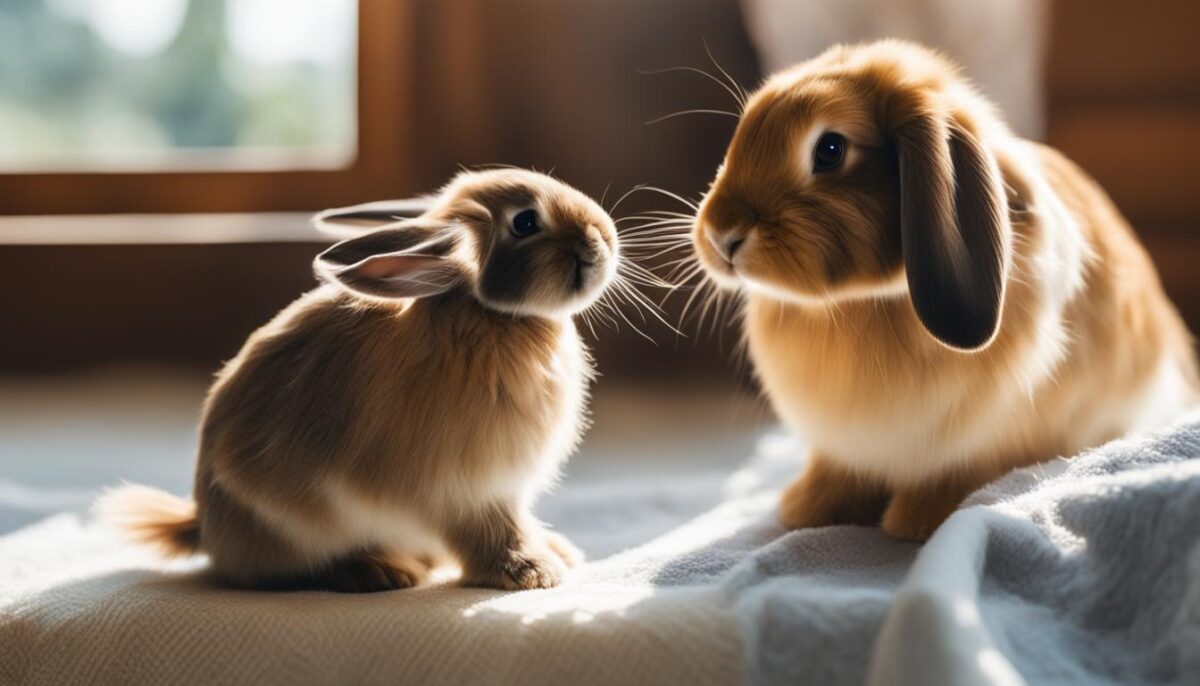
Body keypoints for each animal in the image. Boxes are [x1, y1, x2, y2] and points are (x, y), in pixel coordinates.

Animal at [99, 168, 619, 591]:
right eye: (526, 222)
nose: (605, 237)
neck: (488, 314)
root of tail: (204, 527)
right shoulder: (472, 492)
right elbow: (494, 532)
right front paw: (533, 573)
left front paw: (558, 554)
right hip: (303, 524)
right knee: (309, 567)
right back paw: (381, 571)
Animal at [689, 40, 1200, 541]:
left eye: (830, 149)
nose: (722, 236)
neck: (858, 306)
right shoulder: (844, 449)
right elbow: (838, 472)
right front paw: (807, 511)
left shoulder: (975, 444)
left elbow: (955, 475)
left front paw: (917, 522)